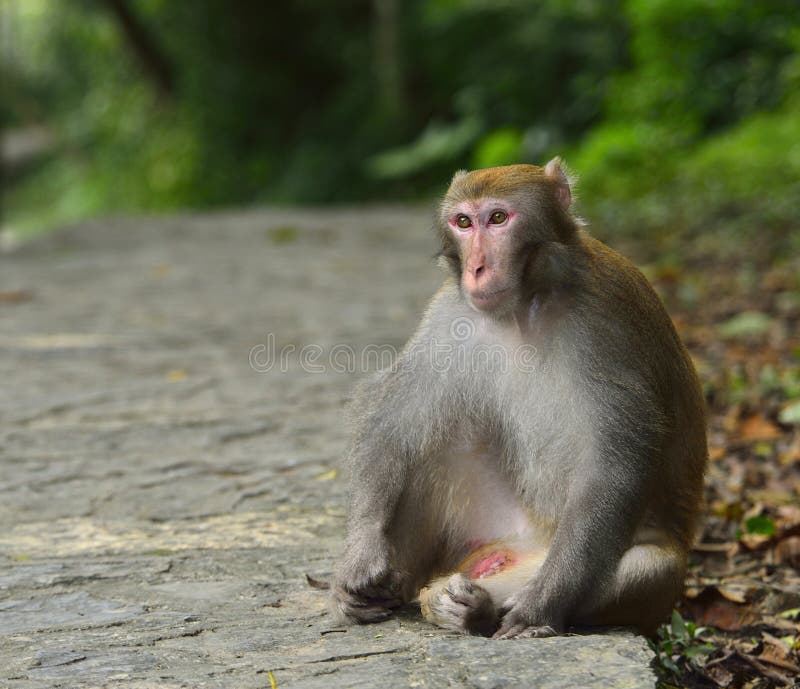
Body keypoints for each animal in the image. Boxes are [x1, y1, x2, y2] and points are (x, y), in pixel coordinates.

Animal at [330, 159, 706, 638]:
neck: (525, 305)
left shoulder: (603, 323)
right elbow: (393, 424)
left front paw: (541, 604)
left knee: (648, 565)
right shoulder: (448, 312)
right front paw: (361, 557)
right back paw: (398, 595)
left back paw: (476, 610)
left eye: (498, 218)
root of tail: (528, 549)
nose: (476, 268)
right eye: (464, 222)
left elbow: (613, 464)